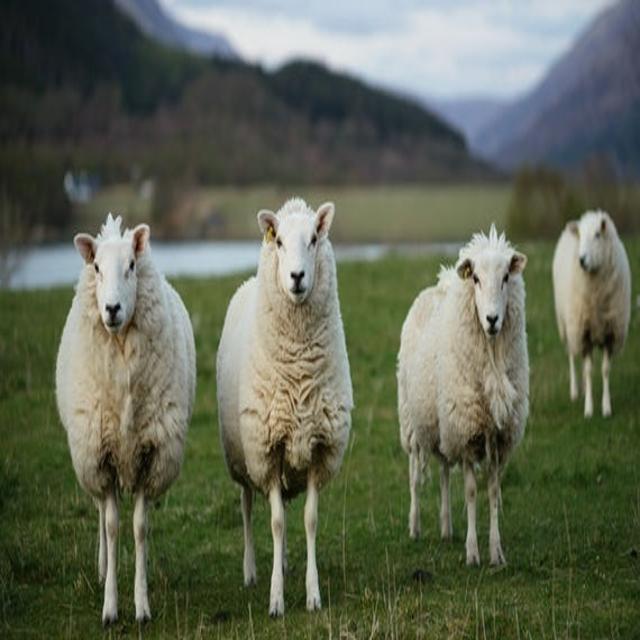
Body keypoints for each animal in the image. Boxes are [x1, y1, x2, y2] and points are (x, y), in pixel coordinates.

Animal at [55, 214, 196, 625]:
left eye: (131, 266)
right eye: (97, 268)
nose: (113, 308)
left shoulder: (150, 456)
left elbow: (138, 529)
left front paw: (141, 603)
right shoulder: (101, 457)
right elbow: (113, 526)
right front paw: (110, 606)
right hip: (91, 455)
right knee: (102, 513)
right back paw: (104, 568)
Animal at [216, 198, 353, 616]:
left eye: (313, 239)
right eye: (278, 243)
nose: (296, 277)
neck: (298, 370)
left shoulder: (318, 448)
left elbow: (309, 520)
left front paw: (312, 593)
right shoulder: (267, 448)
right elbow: (275, 523)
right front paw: (276, 598)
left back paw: (288, 563)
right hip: (242, 457)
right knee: (245, 506)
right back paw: (251, 571)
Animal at [398, 225, 529, 566]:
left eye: (506, 278)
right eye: (476, 279)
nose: (493, 319)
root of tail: (438, 286)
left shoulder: (496, 436)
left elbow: (493, 492)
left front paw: (496, 552)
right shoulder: (468, 432)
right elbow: (470, 492)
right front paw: (472, 552)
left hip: (443, 424)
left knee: (444, 469)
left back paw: (446, 528)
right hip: (412, 422)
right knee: (414, 475)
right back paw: (414, 526)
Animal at [552, 210, 631, 418]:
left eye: (597, 235)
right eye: (580, 235)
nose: (582, 260)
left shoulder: (611, 332)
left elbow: (605, 370)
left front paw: (606, 407)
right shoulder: (583, 332)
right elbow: (588, 371)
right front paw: (588, 409)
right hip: (567, 325)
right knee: (571, 355)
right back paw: (575, 391)